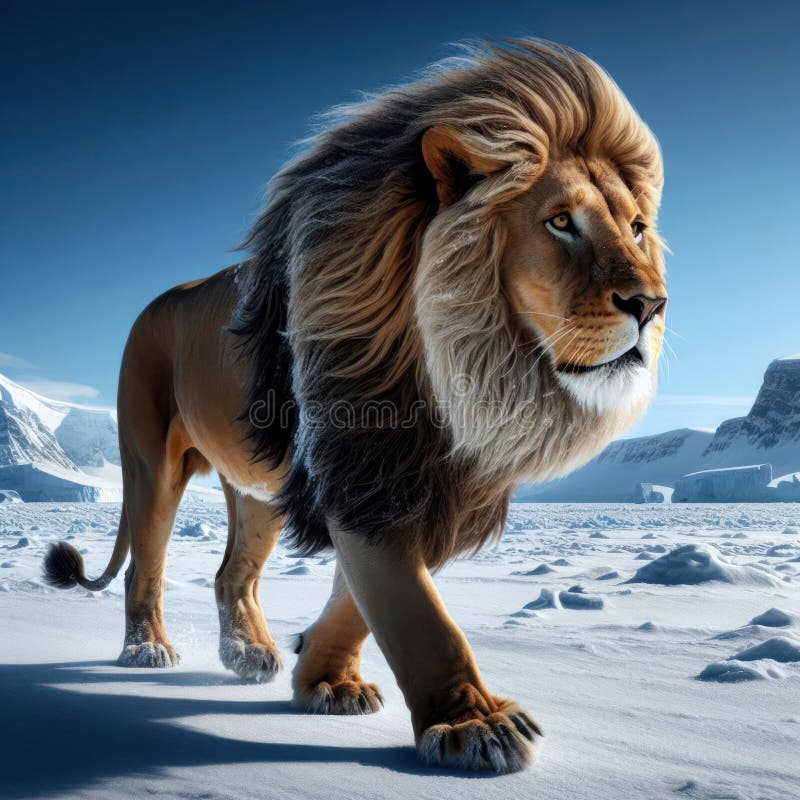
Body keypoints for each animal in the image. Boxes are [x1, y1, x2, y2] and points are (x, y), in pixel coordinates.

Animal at [43, 38, 666, 774]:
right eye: (561, 222)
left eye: (637, 229)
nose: (650, 304)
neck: (457, 372)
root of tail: (158, 300)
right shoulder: (361, 463)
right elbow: (415, 612)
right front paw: (474, 725)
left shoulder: (425, 484)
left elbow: (362, 600)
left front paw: (324, 679)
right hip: (150, 463)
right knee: (146, 564)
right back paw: (147, 649)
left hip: (260, 487)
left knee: (232, 575)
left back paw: (248, 653)